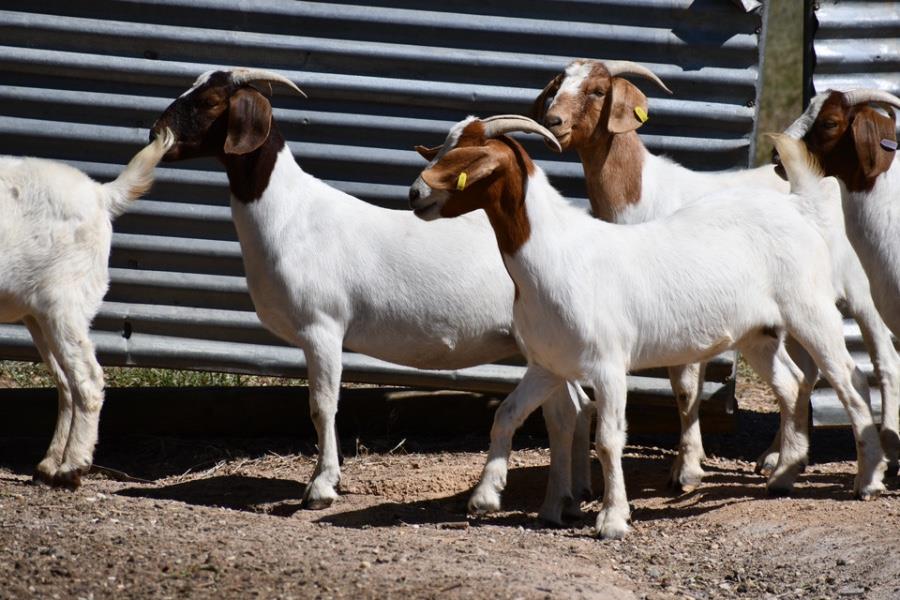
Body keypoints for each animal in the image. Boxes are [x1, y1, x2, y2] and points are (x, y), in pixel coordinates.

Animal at [0, 130, 174, 487]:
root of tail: (101, 194)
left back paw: (72, 466)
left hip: (63, 300)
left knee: (88, 378)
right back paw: (51, 465)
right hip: (39, 313)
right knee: (67, 383)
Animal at [150, 68, 593, 524]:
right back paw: (573, 498)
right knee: (578, 409)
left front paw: (321, 488)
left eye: (209, 102)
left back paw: (553, 504)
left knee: (564, 413)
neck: (290, 216)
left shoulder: (322, 328)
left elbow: (322, 405)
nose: (155, 134)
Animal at [409, 114, 885, 539]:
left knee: (851, 381)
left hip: (810, 310)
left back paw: (869, 479)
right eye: (443, 146)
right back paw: (784, 474)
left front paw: (613, 520)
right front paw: (485, 496)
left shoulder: (609, 365)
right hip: (758, 333)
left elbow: (607, 440)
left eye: (471, 156)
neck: (555, 253)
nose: (415, 192)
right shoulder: (548, 364)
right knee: (790, 383)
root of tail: (798, 207)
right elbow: (506, 414)